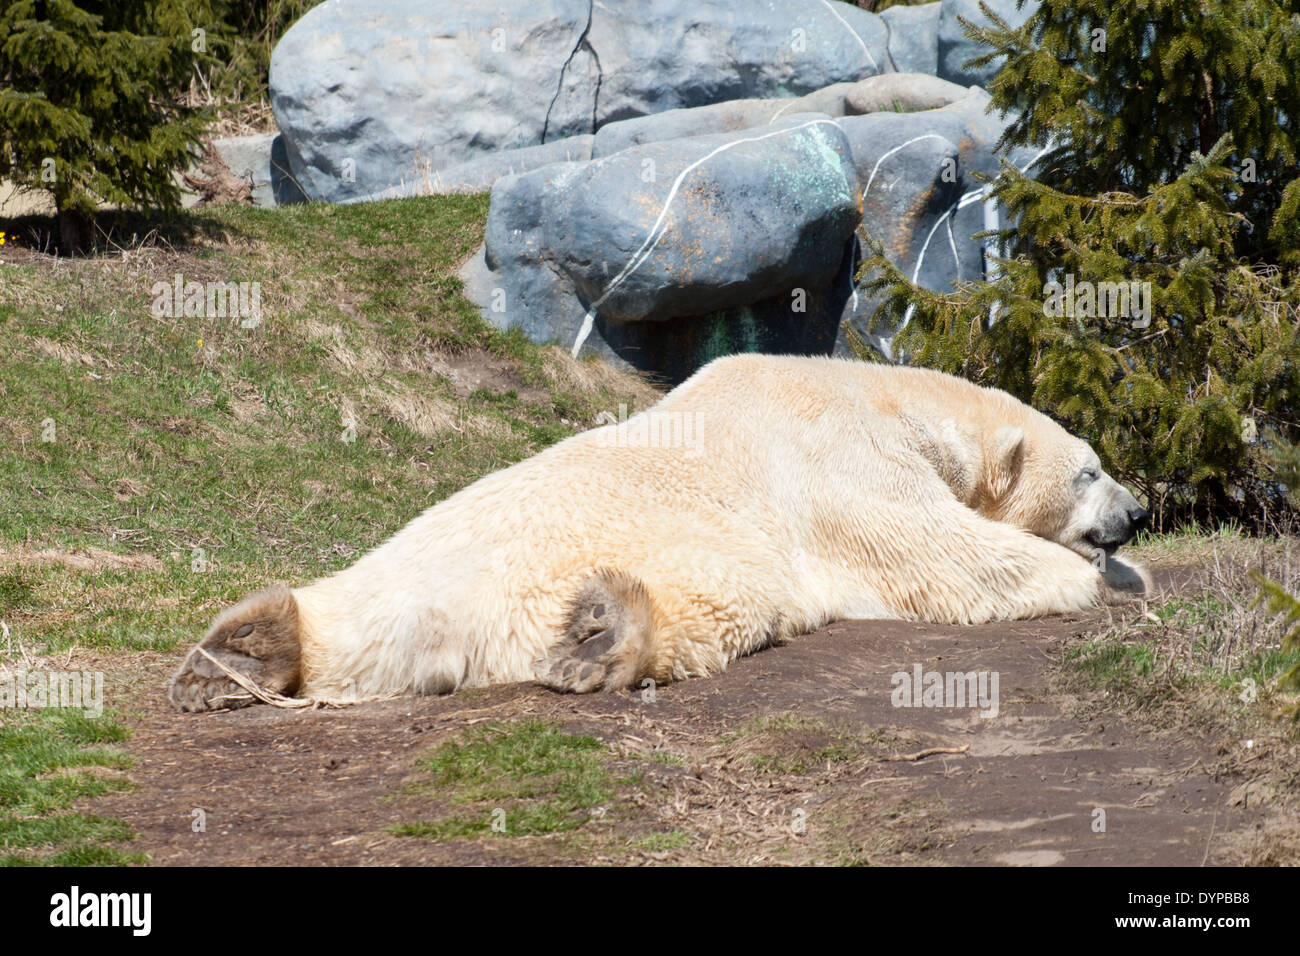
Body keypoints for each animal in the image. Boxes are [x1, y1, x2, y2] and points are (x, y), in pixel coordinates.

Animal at [167, 354, 1151, 712]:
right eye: (1091, 469)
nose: (1139, 511)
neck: (887, 395)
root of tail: (450, 625)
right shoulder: (845, 464)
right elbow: (947, 555)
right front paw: (1106, 578)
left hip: (394, 571)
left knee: (346, 617)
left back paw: (237, 652)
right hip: (660, 554)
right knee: (719, 603)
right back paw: (604, 638)